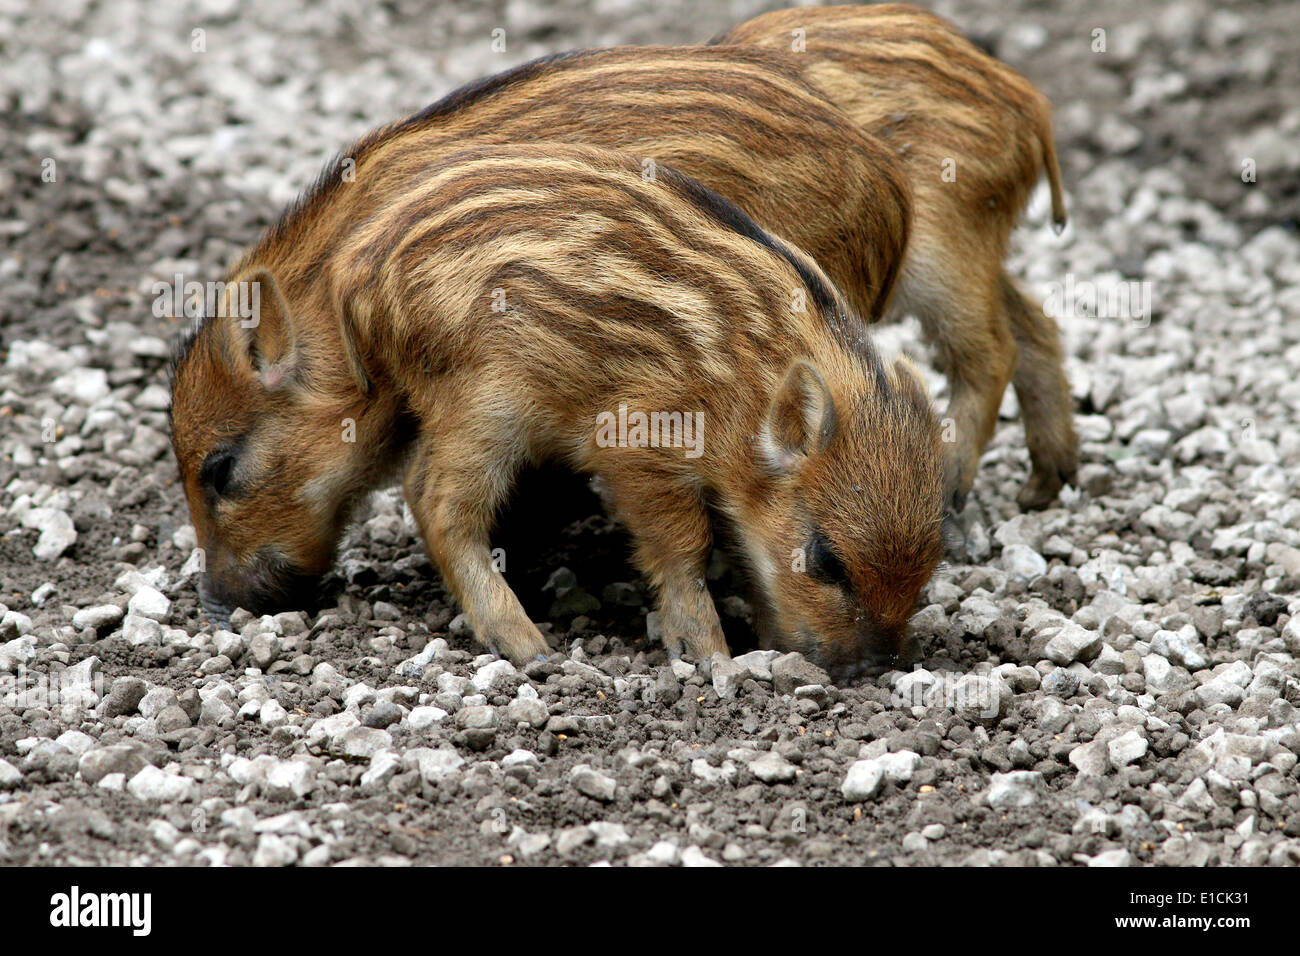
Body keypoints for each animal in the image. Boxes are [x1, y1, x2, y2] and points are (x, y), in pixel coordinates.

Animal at [169, 143, 945, 679]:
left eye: (931, 565)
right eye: (825, 560)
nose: (868, 671)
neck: (743, 382)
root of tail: (356, 279)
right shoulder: (637, 440)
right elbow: (681, 547)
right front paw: (709, 654)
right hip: (485, 402)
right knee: (434, 498)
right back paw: (529, 647)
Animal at [713, 3, 1078, 510]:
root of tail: (1027, 99)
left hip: (943, 248)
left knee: (992, 350)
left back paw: (948, 490)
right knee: (1034, 323)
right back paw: (1042, 487)